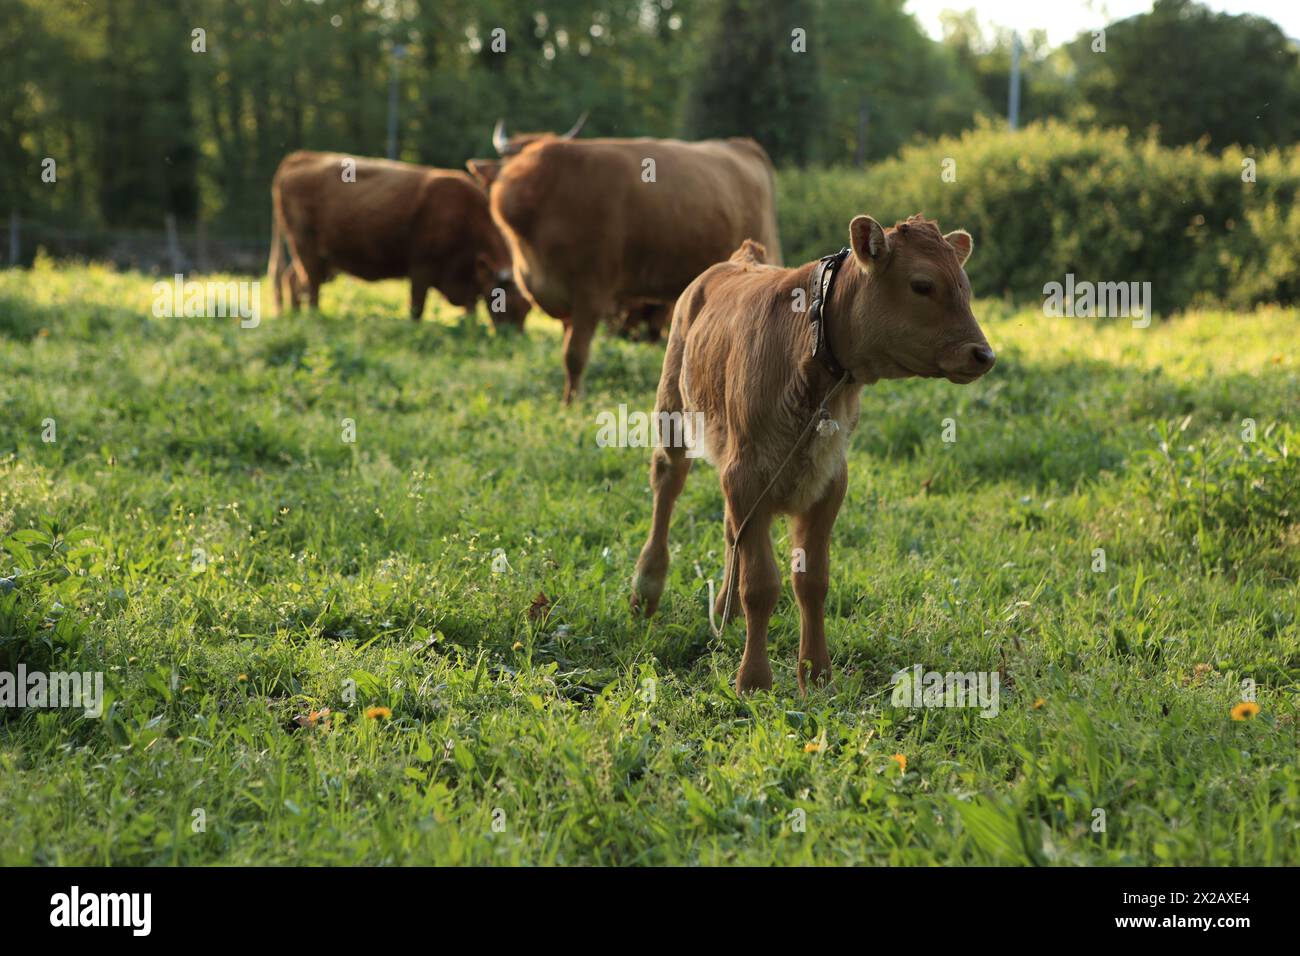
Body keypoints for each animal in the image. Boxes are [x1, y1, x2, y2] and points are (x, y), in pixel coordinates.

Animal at [267, 151, 529, 327]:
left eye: (528, 308)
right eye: (509, 305)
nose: (513, 338)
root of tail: (300, 158)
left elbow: (471, 309)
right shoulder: (421, 268)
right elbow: (416, 309)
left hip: (314, 257)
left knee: (292, 280)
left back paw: (294, 317)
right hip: (306, 250)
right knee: (310, 288)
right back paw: (313, 319)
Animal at [466, 116, 783, 402]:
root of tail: (741, 145)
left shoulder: (590, 295)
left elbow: (574, 355)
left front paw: (573, 403)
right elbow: (568, 355)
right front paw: (569, 397)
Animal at [630, 216, 995, 695]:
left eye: (965, 287)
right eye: (922, 285)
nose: (984, 354)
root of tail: (742, 258)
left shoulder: (826, 481)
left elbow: (812, 581)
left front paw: (817, 674)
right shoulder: (748, 476)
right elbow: (761, 585)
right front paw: (754, 680)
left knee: (730, 530)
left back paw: (725, 611)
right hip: (672, 410)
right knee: (666, 486)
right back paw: (646, 589)